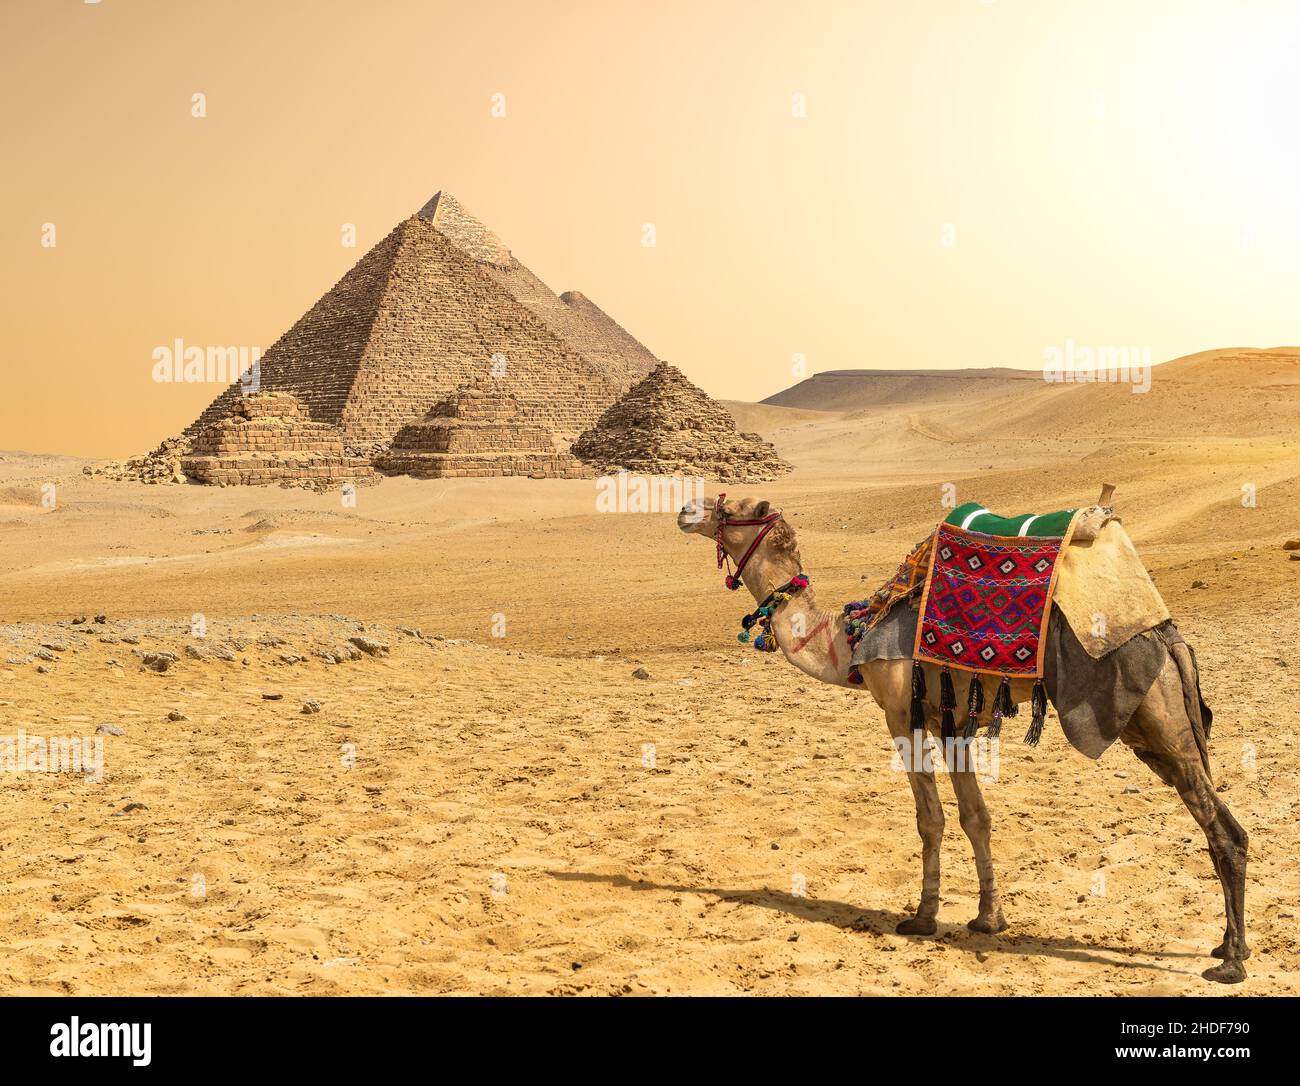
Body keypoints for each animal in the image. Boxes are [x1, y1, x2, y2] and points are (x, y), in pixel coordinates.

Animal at [677, 493, 1249, 984]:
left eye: (735, 508)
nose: (685, 510)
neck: (849, 639)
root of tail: (1170, 638)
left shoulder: (901, 715)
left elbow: (930, 819)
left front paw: (922, 917)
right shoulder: (953, 721)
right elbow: (977, 817)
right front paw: (988, 918)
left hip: (1151, 714)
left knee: (1223, 829)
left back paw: (1232, 962)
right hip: (1156, 730)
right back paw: (1226, 944)